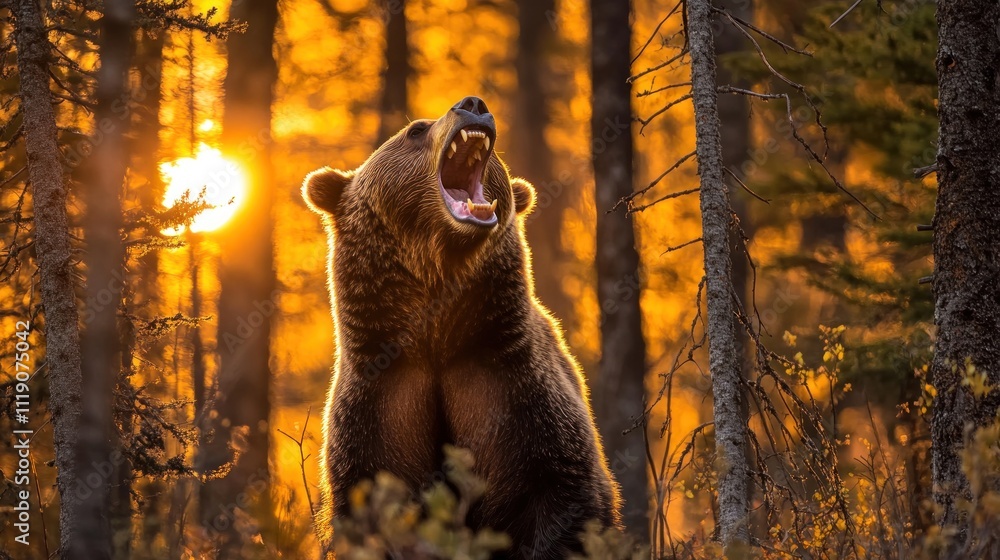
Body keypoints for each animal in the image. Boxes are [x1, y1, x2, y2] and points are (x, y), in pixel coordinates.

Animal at [303, 96, 621, 559]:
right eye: (416, 130)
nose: (473, 104)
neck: (437, 334)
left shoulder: (508, 386)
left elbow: (564, 493)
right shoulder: (381, 402)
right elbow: (369, 508)